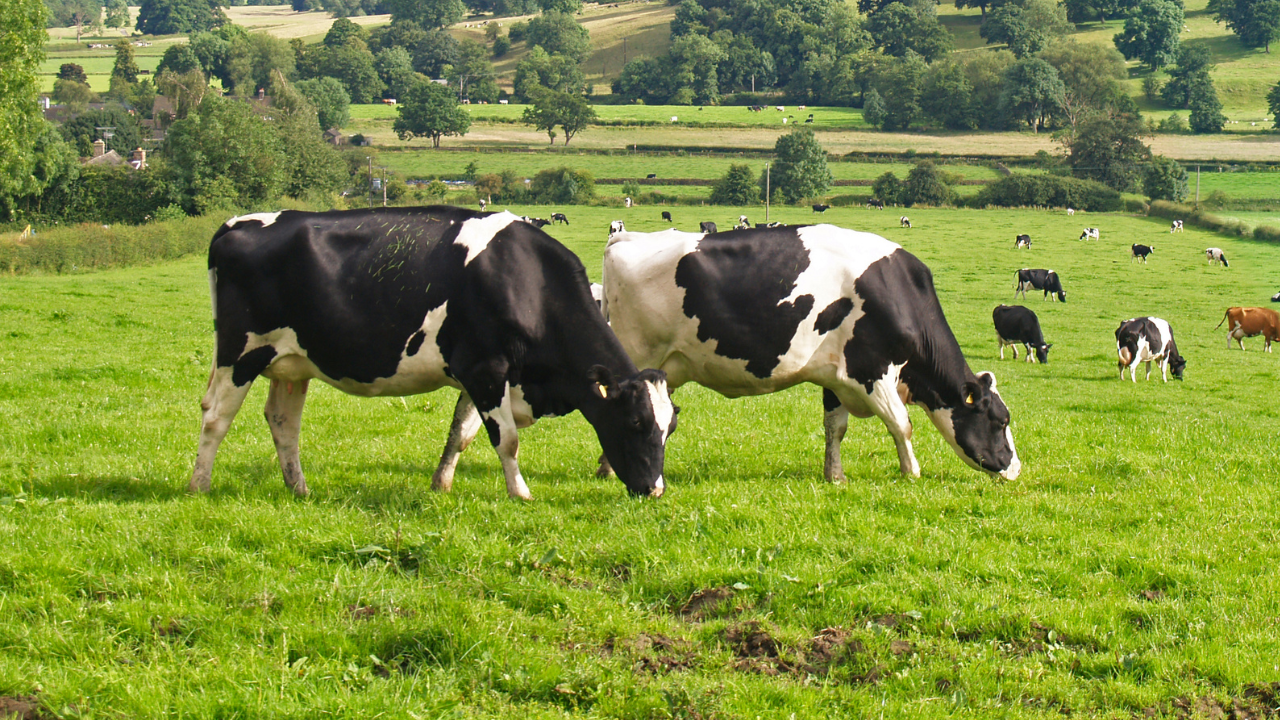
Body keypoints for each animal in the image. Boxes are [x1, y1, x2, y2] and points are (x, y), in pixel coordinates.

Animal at [191, 207, 676, 501]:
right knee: (216, 416)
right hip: (241, 353)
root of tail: (236, 224)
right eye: (635, 422)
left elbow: (460, 434)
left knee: (282, 422)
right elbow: (507, 439)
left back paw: (299, 488)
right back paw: (200, 484)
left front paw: (441, 484)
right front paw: (519, 493)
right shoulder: (484, 369)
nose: (654, 489)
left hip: (292, 364)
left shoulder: (481, 374)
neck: (525, 279)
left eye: (669, 428)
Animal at [599, 225, 1021, 483]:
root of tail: (626, 239)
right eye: (1000, 420)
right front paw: (911, 472)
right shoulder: (873, 369)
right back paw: (611, 470)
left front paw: (834, 475)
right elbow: (902, 424)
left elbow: (836, 428)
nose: (1015, 468)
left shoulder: (836, 375)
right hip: (636, 355)